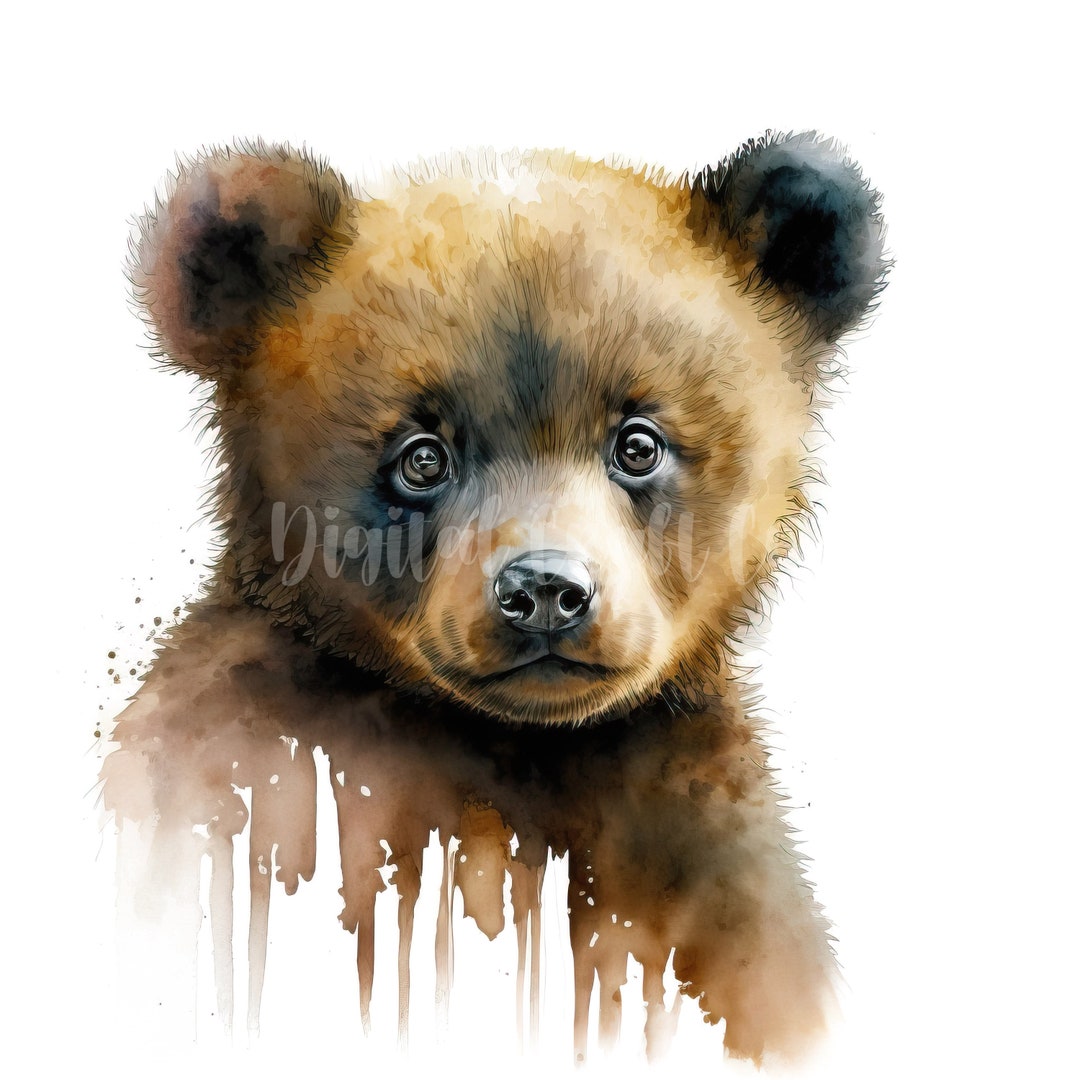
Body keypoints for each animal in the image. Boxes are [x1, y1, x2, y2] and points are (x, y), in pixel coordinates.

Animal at [103, 133, 887, 1066]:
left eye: (638, 442)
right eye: (421, 455)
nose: (545, 591)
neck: (514, 749)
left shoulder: (693, 829)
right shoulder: (242, 765)